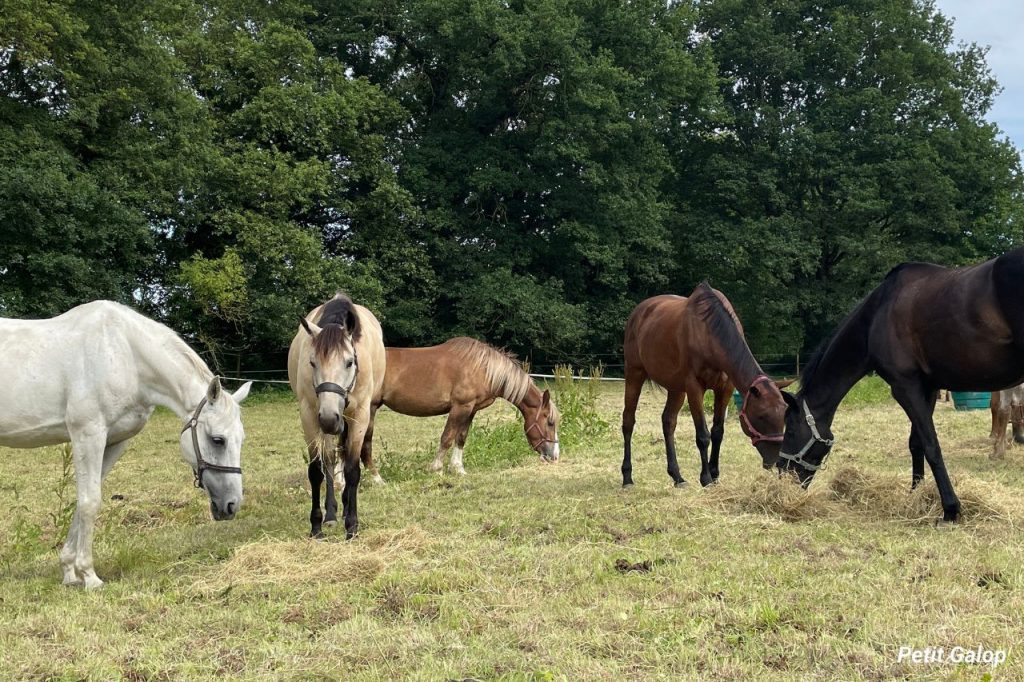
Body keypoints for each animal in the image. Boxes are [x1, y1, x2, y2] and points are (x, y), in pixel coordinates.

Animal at [0, 301, 252, 589]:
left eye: (241, 439)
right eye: (217, 440)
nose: (231, 505)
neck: (125, 354)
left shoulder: (114, 441)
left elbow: (84, 500)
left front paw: (69, 572)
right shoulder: (88, 435)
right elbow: (90, 501)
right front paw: (89, 576)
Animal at [287, 293, 385, 539]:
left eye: (349, 362)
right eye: (312, 362)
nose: (330, 418)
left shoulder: (360, 416)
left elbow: (352, 470)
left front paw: (352, 525)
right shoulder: (310, 416)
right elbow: (317, 469)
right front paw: (316, 526)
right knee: (331, 459)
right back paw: (331, 513)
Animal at [356, 337, 560, 480]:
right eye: (550, 422)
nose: (555, 455)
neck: (483, 368)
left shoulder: (471, 409)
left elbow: (461, 438)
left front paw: (458, 469)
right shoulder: (460, 407)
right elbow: (447, 438)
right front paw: (437, 469)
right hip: (369, 409)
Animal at [621, 283, 792, 488]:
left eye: (784, 413)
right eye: (761, 415)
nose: (775, 460)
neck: (708, 332)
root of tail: (638, 312)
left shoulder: (724, 389)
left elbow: (717, 432)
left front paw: (715, 473)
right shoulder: (694, 388)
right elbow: (703, 435)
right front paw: (706, 478)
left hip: (676, 388)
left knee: (668, 422)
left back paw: (677, 477)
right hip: (634, 374)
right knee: (628, 421)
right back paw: (627, 478)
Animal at [776, 247, 1024, 522]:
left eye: (790, 430)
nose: (782, 473)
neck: (876, 317)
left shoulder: (904, 387)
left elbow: (931, 445)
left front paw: (950, 509)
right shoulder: (927, 388)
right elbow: (916, 443)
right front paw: (916, 494)